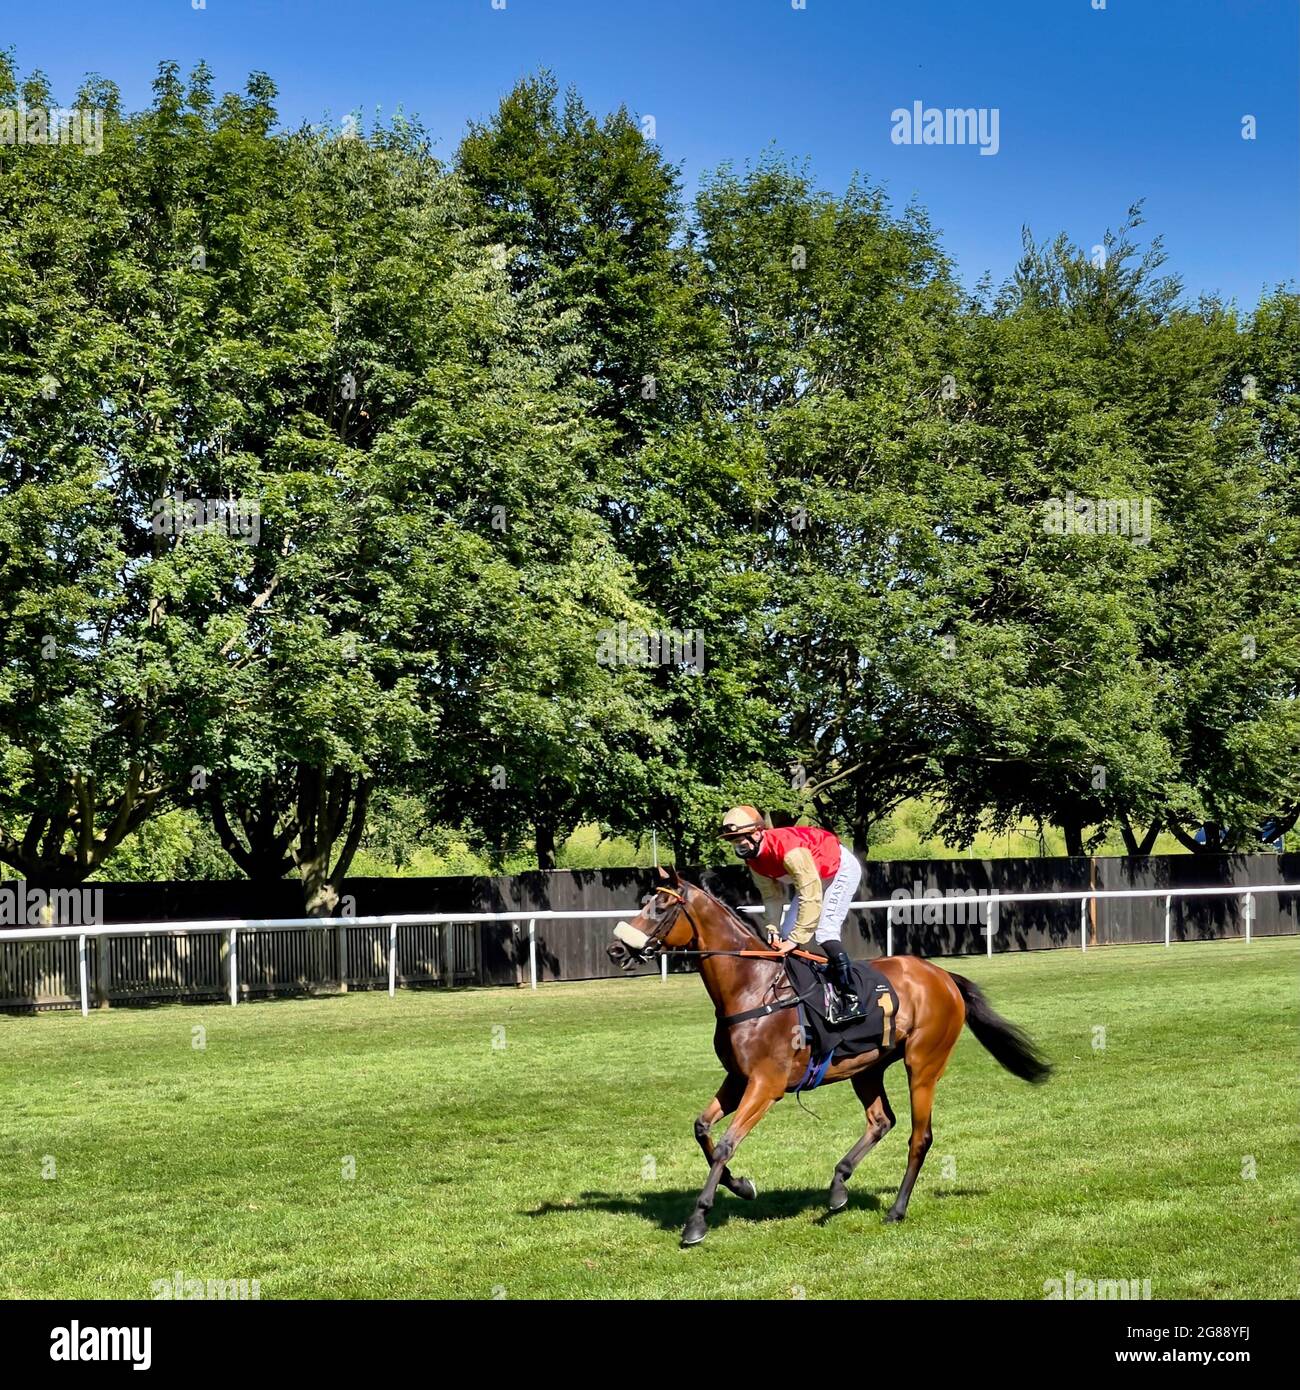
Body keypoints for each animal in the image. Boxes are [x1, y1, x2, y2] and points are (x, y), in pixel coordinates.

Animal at [607, 868, 1051, 1247]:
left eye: (661, 906)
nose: (614, 949)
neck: (753, 988)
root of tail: (943, 977)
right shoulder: (738, 1078)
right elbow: (702, 1129)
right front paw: (742, 1186)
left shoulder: (766, 1085)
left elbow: (726, 1145)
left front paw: (697, 1221)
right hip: (866, 1067)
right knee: (881, 1121)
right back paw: (838, 1185)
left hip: (923, 1064)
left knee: (919, 1136)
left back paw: (896, 1209)